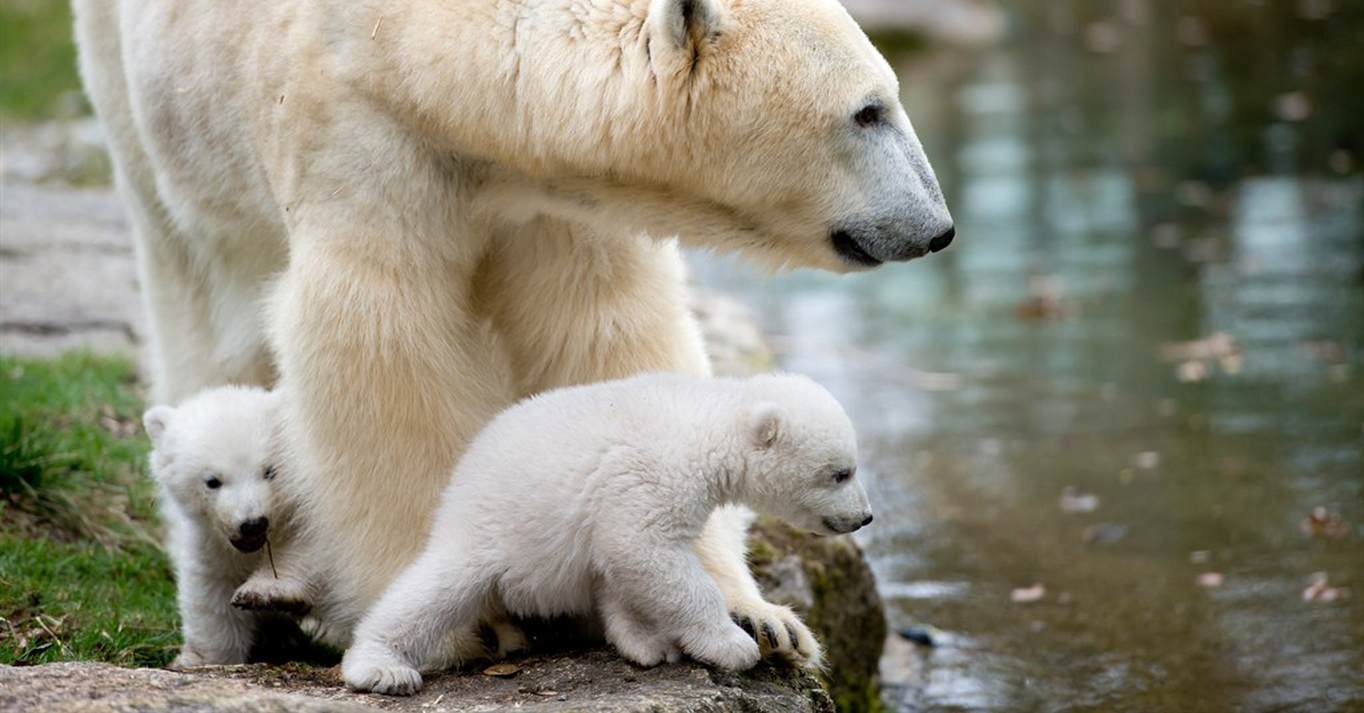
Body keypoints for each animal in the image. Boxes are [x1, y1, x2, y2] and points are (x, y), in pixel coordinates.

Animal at [143, 385, 318, 666]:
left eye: (270, 471)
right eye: (212, 481)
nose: (253, 524)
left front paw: (270, 591)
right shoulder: (211, 544)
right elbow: (212, 596)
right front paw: (201, 659)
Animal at [342, 372, 873, 695]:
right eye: (840, 473)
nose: (865, 517)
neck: (705, 425)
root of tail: (459, 479)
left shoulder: (624, 493)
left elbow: (630, 562)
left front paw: (656, 641)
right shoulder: (649, 475)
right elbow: (648, 552)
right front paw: (732, 644)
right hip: (488, 531)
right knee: (433, 592)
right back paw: (381, 666)